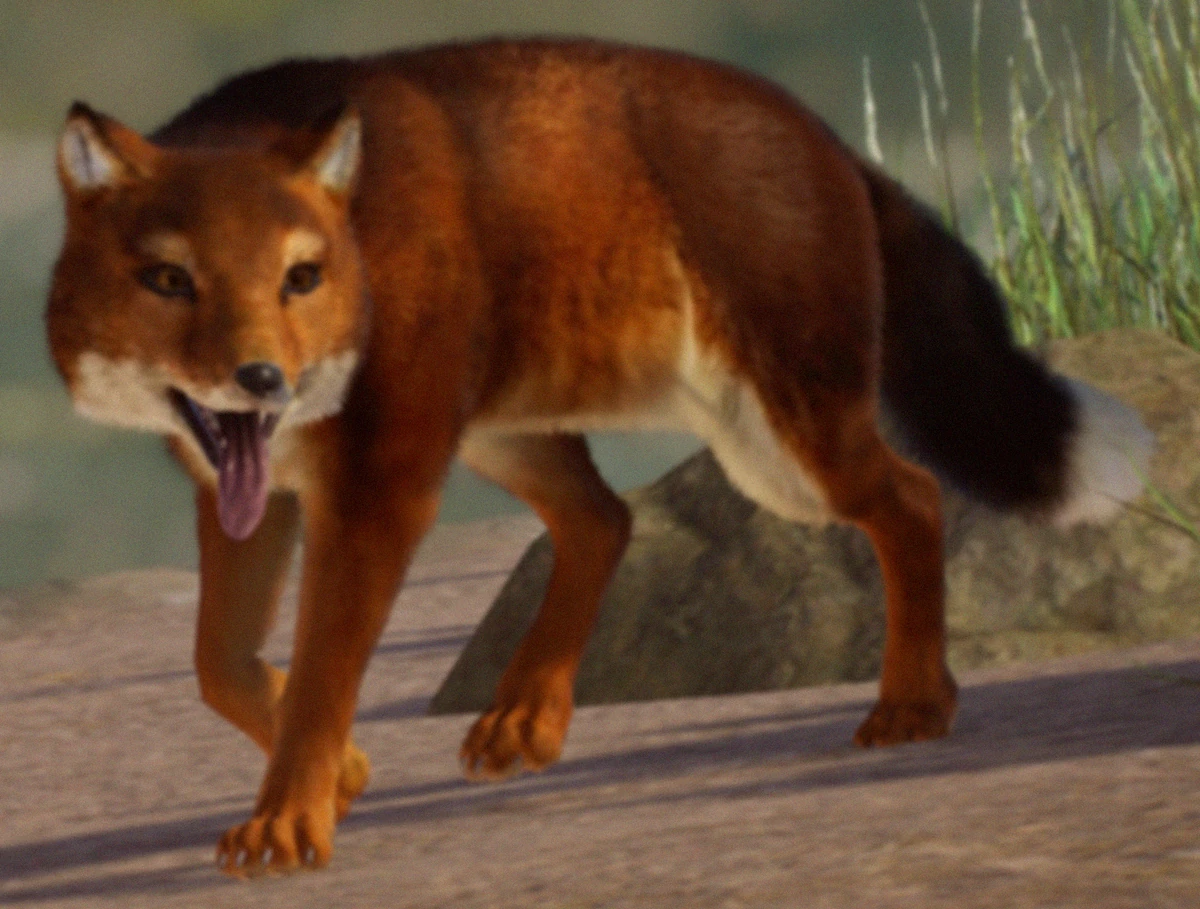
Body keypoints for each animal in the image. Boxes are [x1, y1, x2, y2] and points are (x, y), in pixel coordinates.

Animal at [47, 38, 1151, 876]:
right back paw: (528, 719)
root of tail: (820, 131)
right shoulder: (251, 490)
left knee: (913, 495)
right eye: (171, 281)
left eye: (300, 277)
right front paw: (345, 774)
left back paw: (916, 702)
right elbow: (221, 666)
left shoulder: (377, 492)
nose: (262, 379)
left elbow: (318, 673)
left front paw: (290, 818)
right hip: (517, 437)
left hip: (780, 450)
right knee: (606, 519)